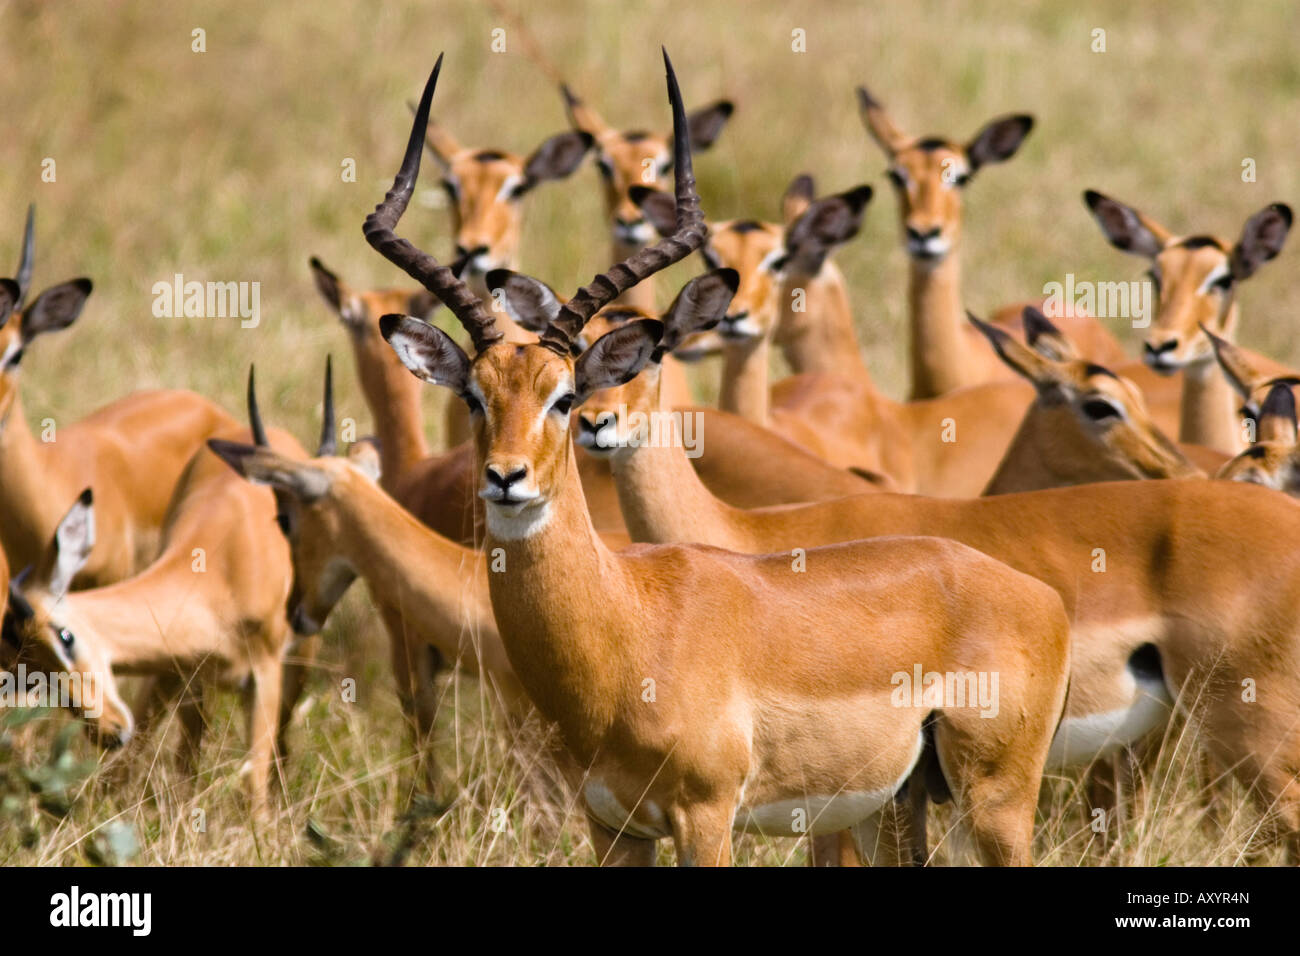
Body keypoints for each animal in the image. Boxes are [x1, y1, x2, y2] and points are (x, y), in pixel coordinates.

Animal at [4, 376, 308, 813]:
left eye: (65, 636)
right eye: (26, 675)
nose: (107, 731)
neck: (218, 578)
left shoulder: (264, 675)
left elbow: (254, 791)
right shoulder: (172, 667)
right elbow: (131, 767)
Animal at [369, 53, 1074, 867]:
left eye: (564, 396)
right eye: (475, 396)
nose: (506, 478)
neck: (627, 622)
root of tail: (1041, 598)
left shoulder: (705, 815)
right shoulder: (612, 826)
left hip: (996, 801)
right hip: (895, 805)